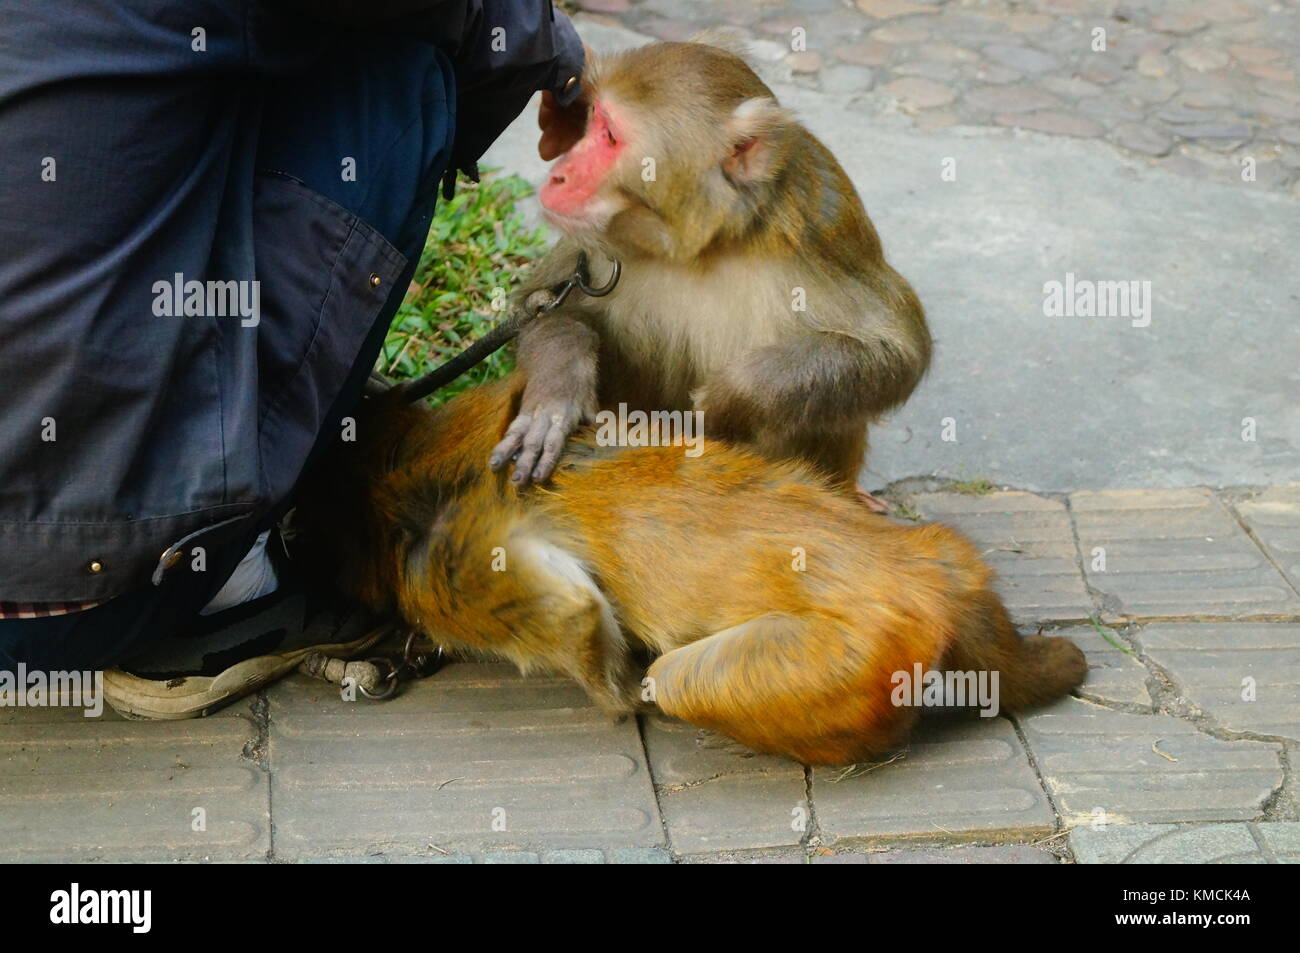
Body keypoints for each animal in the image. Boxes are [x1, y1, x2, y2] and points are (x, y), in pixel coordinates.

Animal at [296, 381, 1087, 766]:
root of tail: (935, 580)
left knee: (675, 678)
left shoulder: (442, 572)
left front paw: (615, 695)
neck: (396, 479)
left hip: (853, 655)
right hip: (944, 551)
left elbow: (581, 623)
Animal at [489, 40, 932, 507]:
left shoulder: (821, 234)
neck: (697, 249)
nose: (558, 174)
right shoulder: (594, 250)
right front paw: (555, 398)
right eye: (594, 120)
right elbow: (544, 307)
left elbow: (896, 349)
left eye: (610, 136)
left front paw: (731, 395)